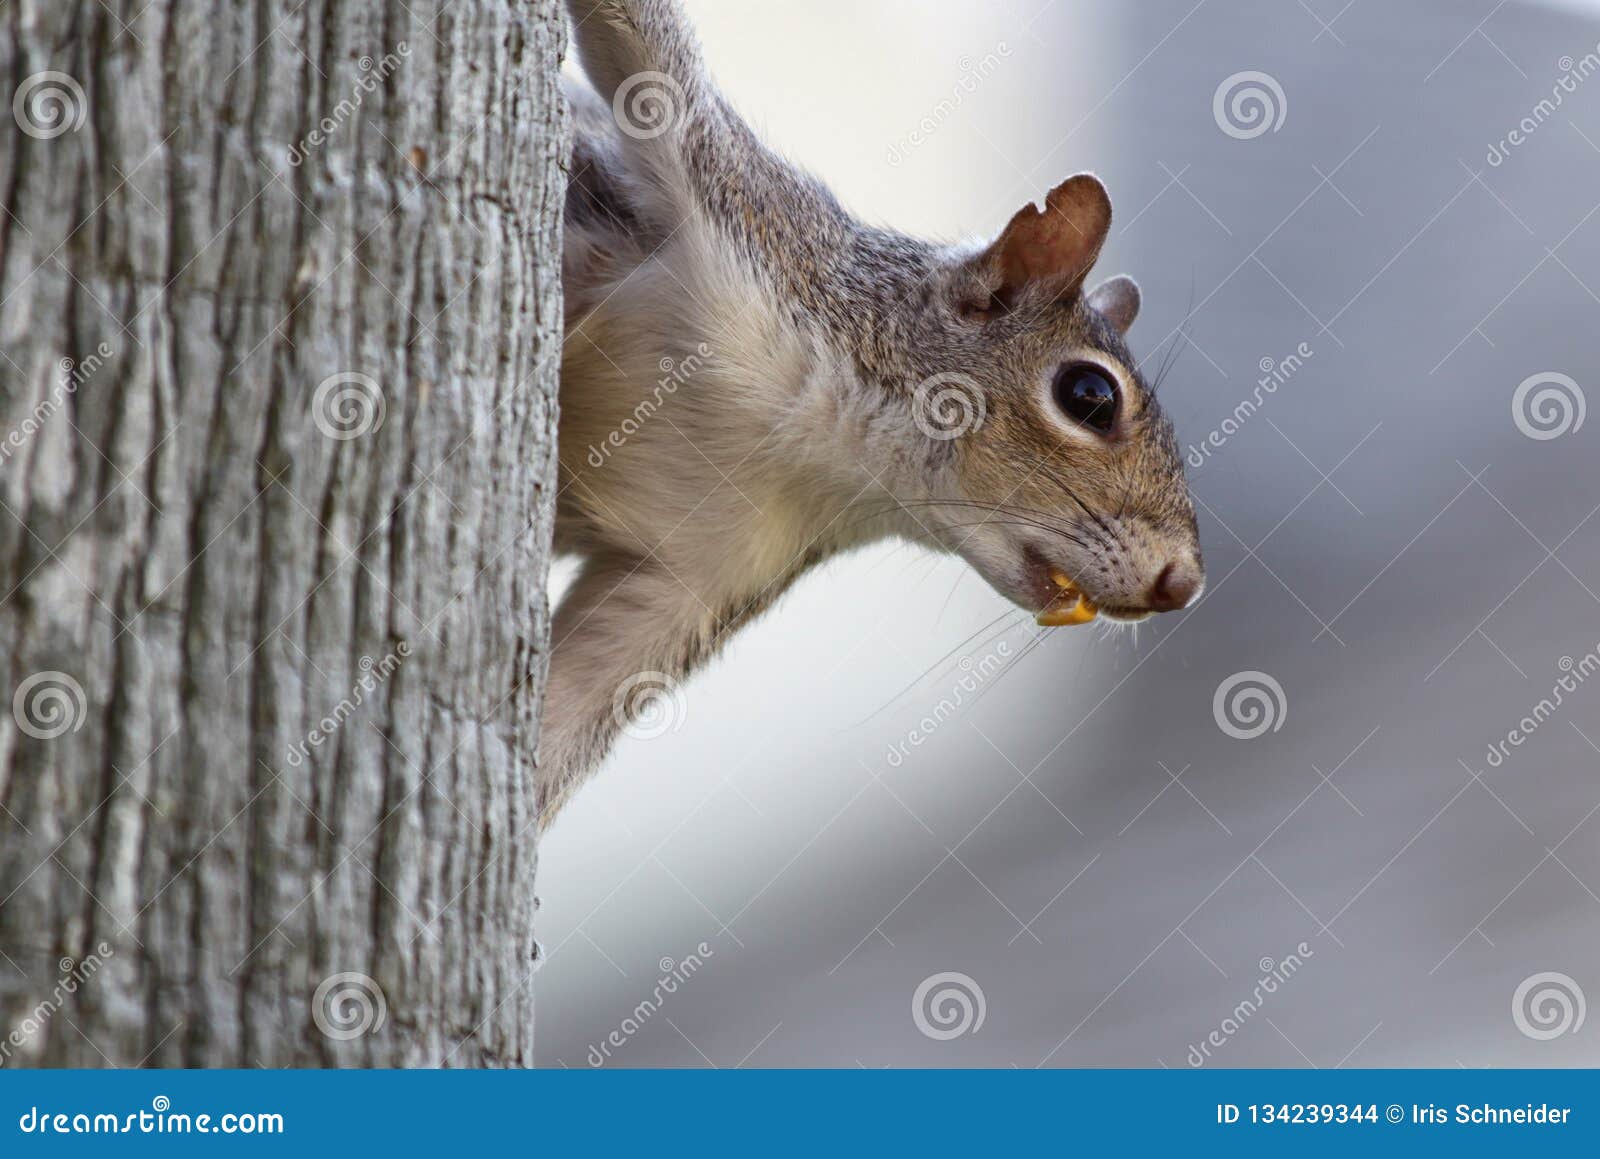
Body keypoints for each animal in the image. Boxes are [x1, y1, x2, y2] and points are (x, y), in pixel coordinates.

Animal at [541, 0, 1204, 826]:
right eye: (1090, 397)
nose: (1183, 585)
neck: (820, 450)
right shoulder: (741, 205)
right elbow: (645, 61)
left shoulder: (694, 575)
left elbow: (575, 697)